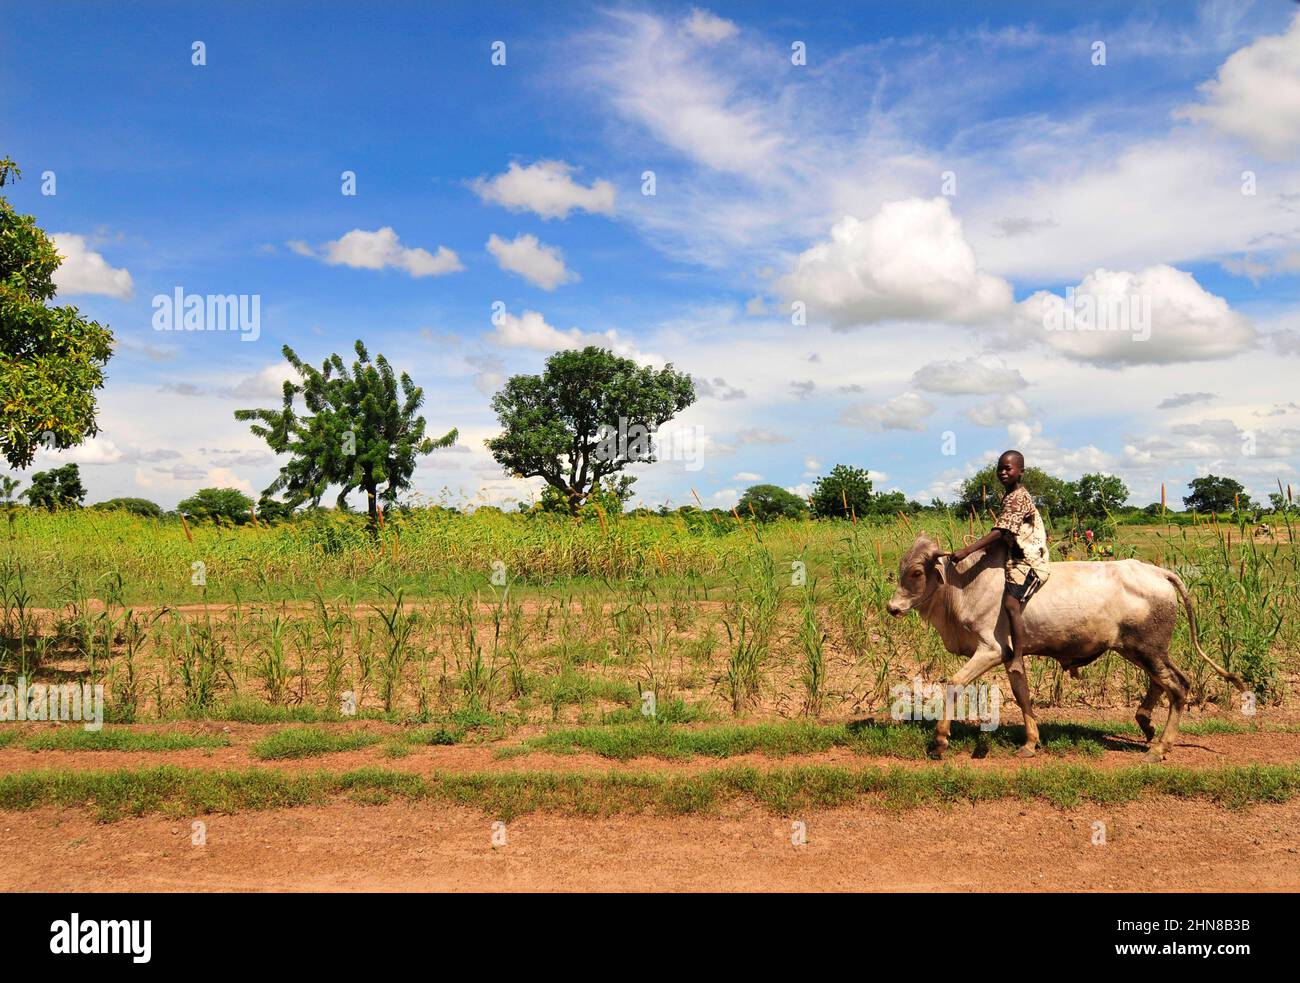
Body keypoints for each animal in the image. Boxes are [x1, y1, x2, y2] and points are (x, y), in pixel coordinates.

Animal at [885, 534, 1245, 763]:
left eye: (916, 572)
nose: (892, 607)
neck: (963, 585)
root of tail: (1157, 571)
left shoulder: (990, 650)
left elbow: (954, 684)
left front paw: (939, 741)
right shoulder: (1010, 656)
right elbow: (1022, 695)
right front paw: (1031, 742)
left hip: (1147, 649)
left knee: (1178, 687)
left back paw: (1158, 748)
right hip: (1139, 650)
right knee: (1163, 684)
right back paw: (1146, 724)